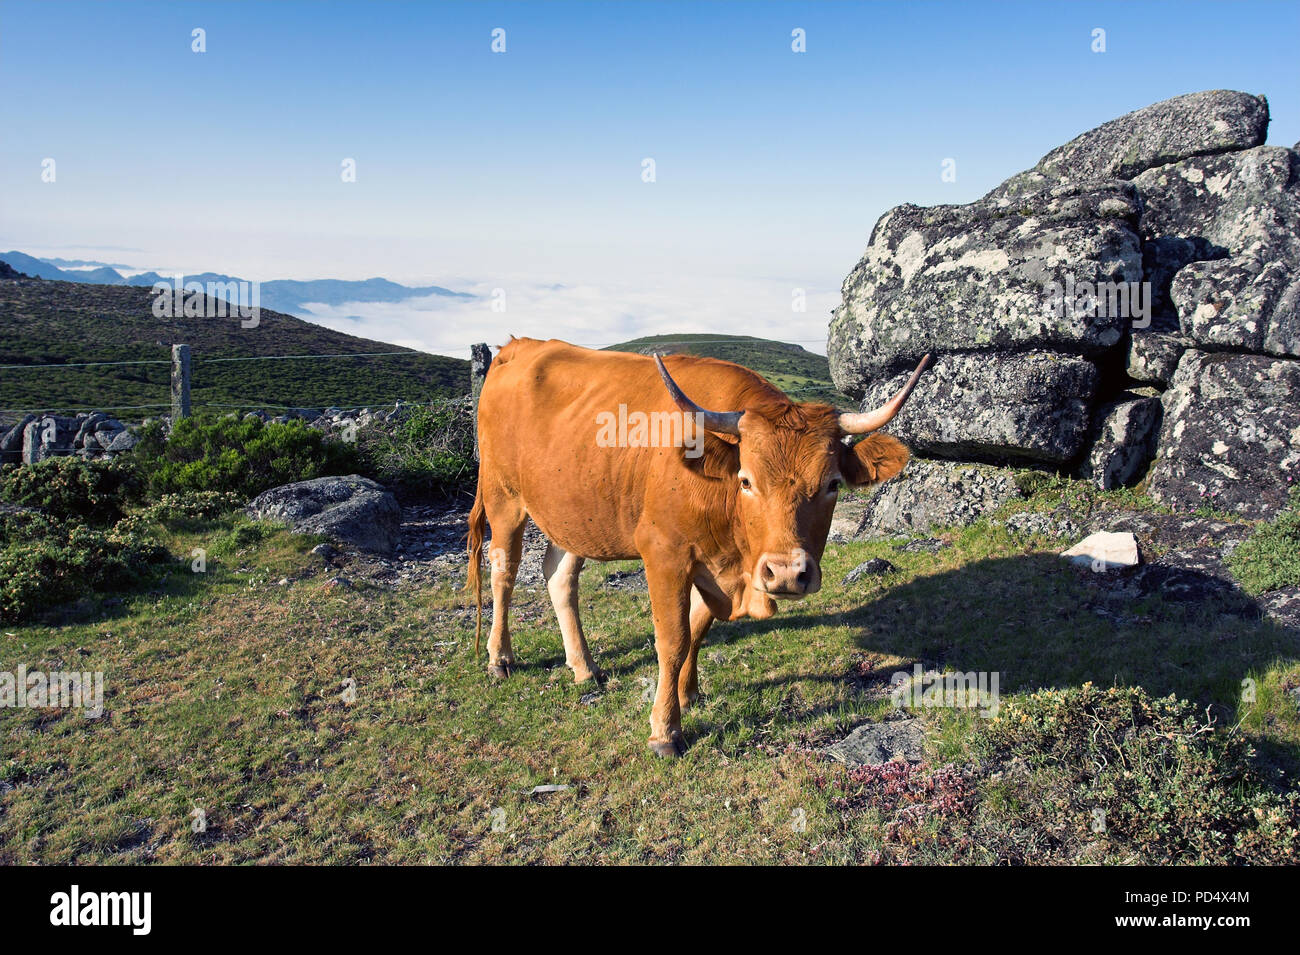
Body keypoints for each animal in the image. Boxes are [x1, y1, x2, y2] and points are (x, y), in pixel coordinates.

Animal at [467, 337, 929, 756]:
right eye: (746, 480)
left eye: (833, 484)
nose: (786, 574)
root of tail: (519, 346)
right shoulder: (663, 553)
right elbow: (672, 639)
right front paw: (665, 730)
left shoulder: (714, 564)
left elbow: (698, 628)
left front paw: (687, 694)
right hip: (503, 497)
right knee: (504, 573)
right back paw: (499, 658)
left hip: (573, 514)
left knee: (559, 576)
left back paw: (584, 667)